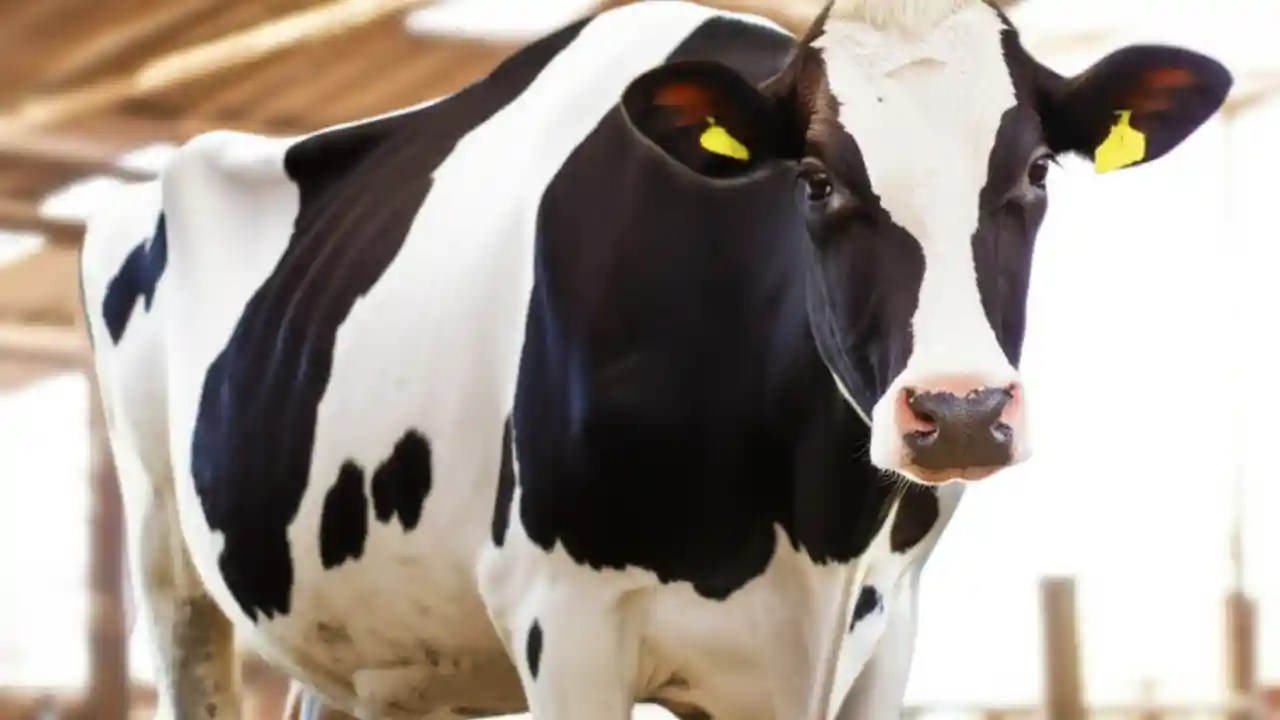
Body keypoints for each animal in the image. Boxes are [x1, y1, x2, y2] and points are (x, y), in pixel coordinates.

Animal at [79, 0, 1230, 718]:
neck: (809, 527)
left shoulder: (880, 630)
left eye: (1034, 171)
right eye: (815, 179)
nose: (957, 412)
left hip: (359, 633)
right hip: (168, 569)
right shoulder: (562, 623)